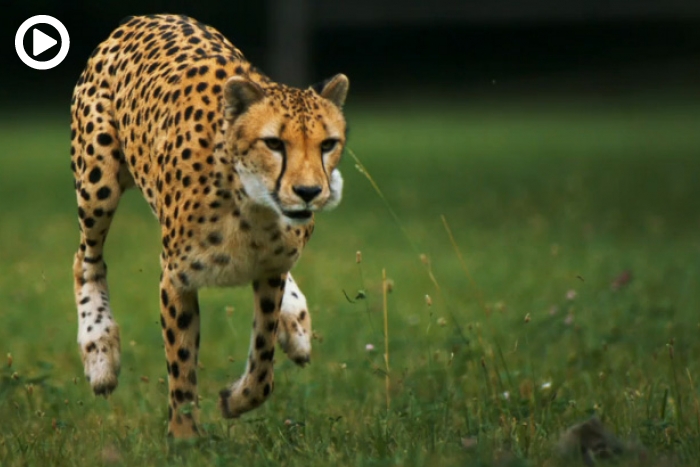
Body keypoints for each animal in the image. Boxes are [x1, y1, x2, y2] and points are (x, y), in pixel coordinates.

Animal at [69, 14, 349, 438]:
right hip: (97, 180)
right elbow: (181, 365)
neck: (251, 203)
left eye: (328, 144)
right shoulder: (175, 278)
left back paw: (296, 321)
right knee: (86, 257)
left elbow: (263, 364)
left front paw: (234, 400)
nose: (308, 192)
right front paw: (184, 438)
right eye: (274, 143)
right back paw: (99, 352)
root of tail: (146, 17)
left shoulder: (270, 270)